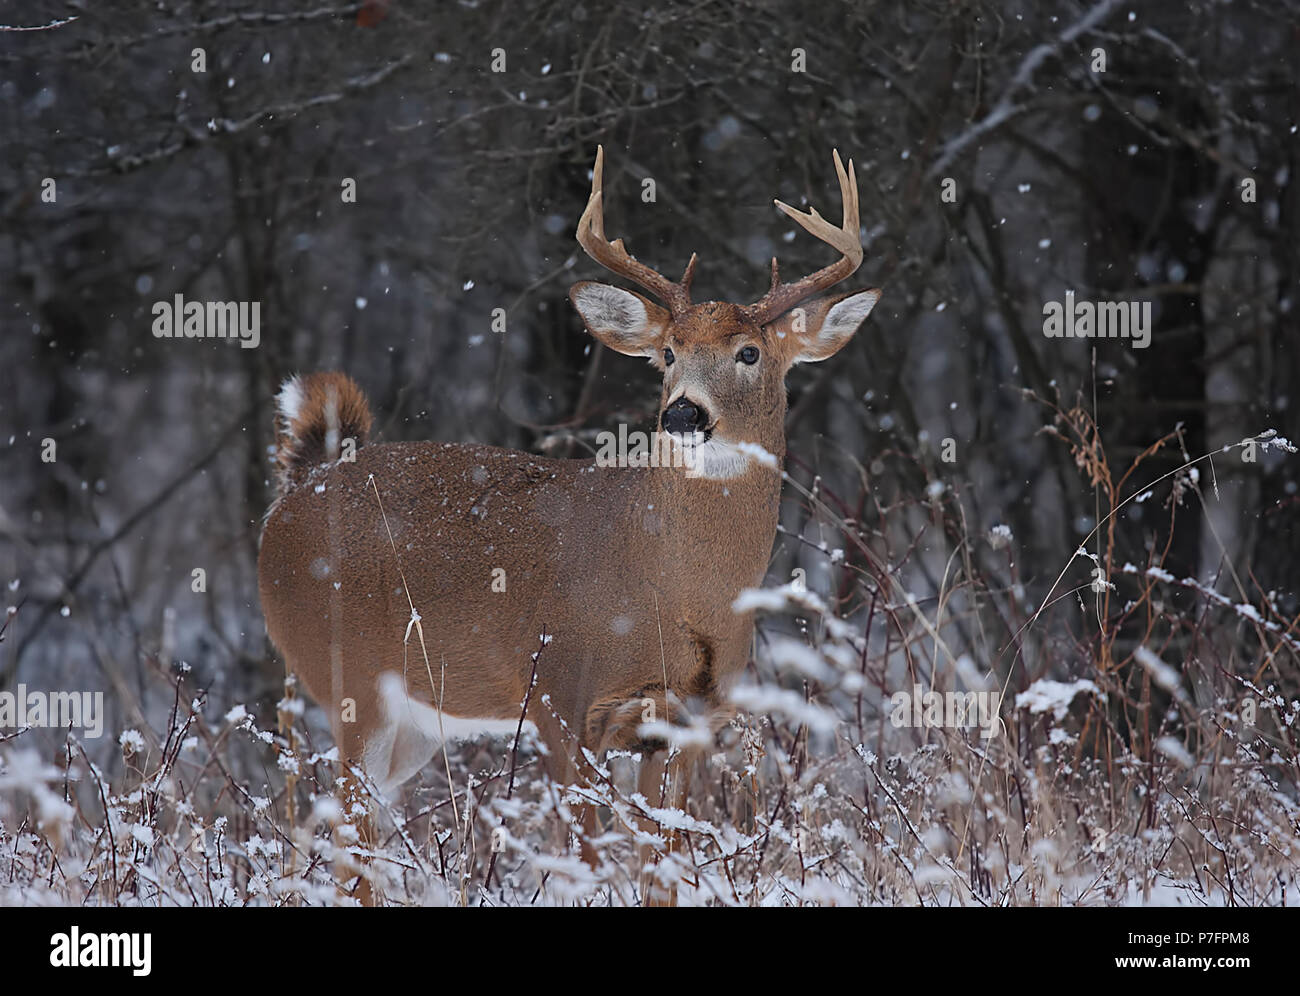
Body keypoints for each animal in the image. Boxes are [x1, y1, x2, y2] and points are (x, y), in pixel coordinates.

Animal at [256, 147, 880, 902]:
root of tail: (294, 492)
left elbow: (663, 865)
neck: (678, 595)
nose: (682, 413)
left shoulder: (691, 721)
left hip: (415, 723)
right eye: (668, 353)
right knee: (347, 841)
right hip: (344, 682)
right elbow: (582, 862)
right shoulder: (560, 695)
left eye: (750, 353)